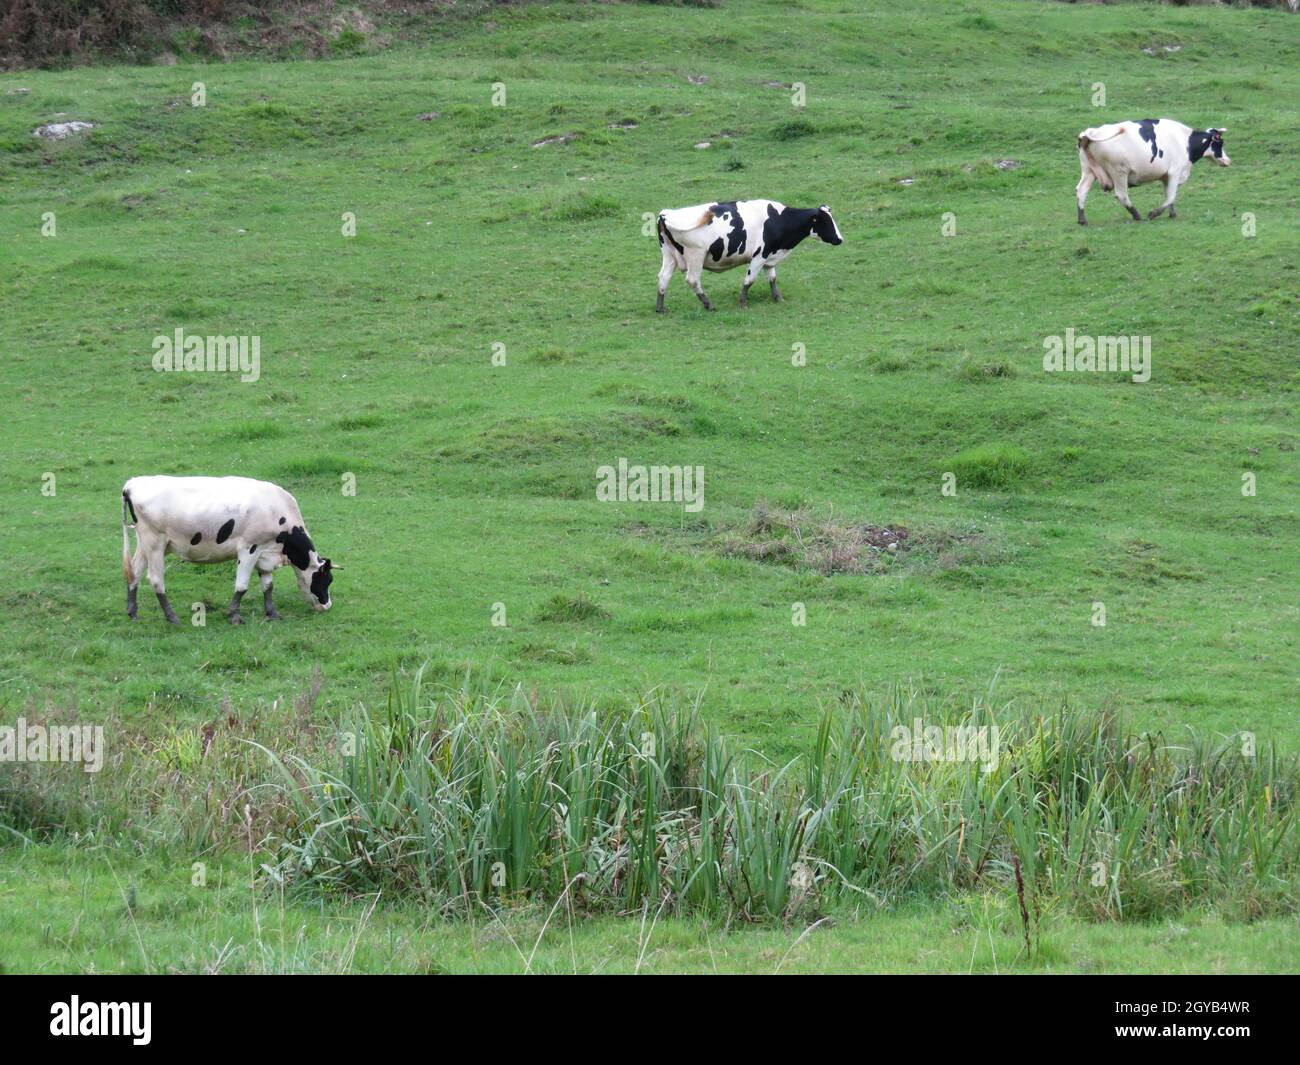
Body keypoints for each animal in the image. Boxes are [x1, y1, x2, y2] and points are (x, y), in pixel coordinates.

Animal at [121, 475, 335, 625]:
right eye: (325, 580)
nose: (327, 606)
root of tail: (132, 484)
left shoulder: (265, 553)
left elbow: (268, 586)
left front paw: (272, 613)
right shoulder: (249, 548)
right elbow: (241, 586)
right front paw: (234, 616)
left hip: (146, 543)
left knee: (134, 572)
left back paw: (132, 613)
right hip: (155, 542)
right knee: (156, 581)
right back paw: (172, 617)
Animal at [655, 199, 843, 312]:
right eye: (825, 221)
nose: (840, 239)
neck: (778, 220)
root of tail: (666, 214)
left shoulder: (769, 257)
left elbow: (772, 279)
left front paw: (778, 299)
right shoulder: (759, 256)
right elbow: (749, 280)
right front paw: (743, 303)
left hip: (669, 255)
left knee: (663, 277)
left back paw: (660, 308)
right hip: (696, 254)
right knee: (693, 280)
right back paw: (709, 305)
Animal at [1076, 119, 1230, 225]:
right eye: (1220, 143)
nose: (1228, 160)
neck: (1185, 142)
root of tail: (1091, 132)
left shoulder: (1166, 177)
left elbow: (1169, 196)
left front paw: (1172, 214)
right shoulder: (1175, 172)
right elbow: (1171, 197)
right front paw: (1153, 213)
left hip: (1088, 171)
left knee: (1081, 190)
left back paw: (1082, 220)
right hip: (1119, 171)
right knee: (1121, 195)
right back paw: (1137, 216)